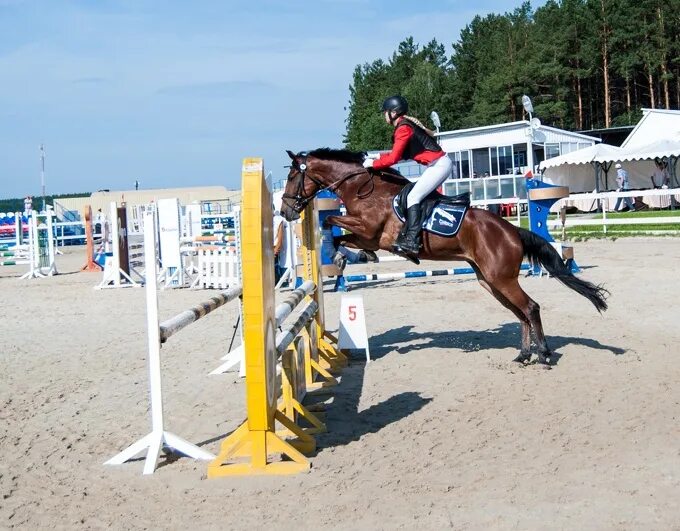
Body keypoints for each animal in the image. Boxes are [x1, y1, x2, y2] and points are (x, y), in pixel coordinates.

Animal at [280, 148, 608, 366]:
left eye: (293, 175)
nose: (285, 211)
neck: (363, 188)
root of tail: (512, 231)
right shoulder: (367, 234)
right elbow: (339, 233)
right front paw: (351, 256)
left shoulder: (370, 229)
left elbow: (331, 224)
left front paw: (344, 255)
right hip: (490, 281)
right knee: (521, 312)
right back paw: (524, 354)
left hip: (501, 278)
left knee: (531, 307)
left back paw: (543, 354)